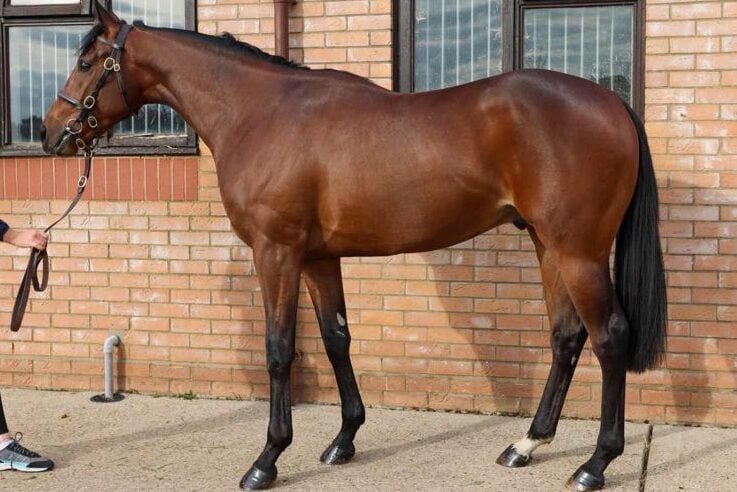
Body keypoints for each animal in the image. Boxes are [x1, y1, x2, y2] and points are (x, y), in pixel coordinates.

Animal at [42, 4, 666, 491]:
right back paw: (526, 445)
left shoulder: (276, 252)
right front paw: (343, 441)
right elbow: (336, 339)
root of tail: (612, 104)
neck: (258, 113)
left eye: (86, 62)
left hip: (578, 251)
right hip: (547, 245)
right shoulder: (319, 258)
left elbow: (279, 349)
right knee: (566, 337)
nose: (51, 133)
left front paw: (267, 460)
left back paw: (595, 464)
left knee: (610, 337)